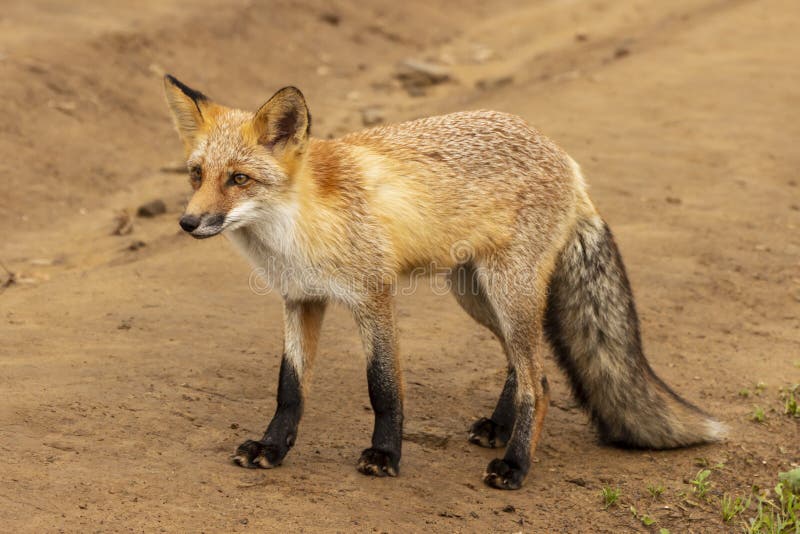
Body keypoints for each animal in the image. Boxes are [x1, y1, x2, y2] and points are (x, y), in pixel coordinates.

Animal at [162, 74, 724, 490]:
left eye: (239, 179)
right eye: (196, 175)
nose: (188, 223)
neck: (296, 227)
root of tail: (567, 159)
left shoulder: (374, 296)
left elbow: (383, 387)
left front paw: (385, 455)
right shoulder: (301, 299)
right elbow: (290, 387)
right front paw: (272, 447)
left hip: (507, 292)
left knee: (539, 384)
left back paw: (515, 465)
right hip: (475, 296)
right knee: (524, 368)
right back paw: (499, 429)